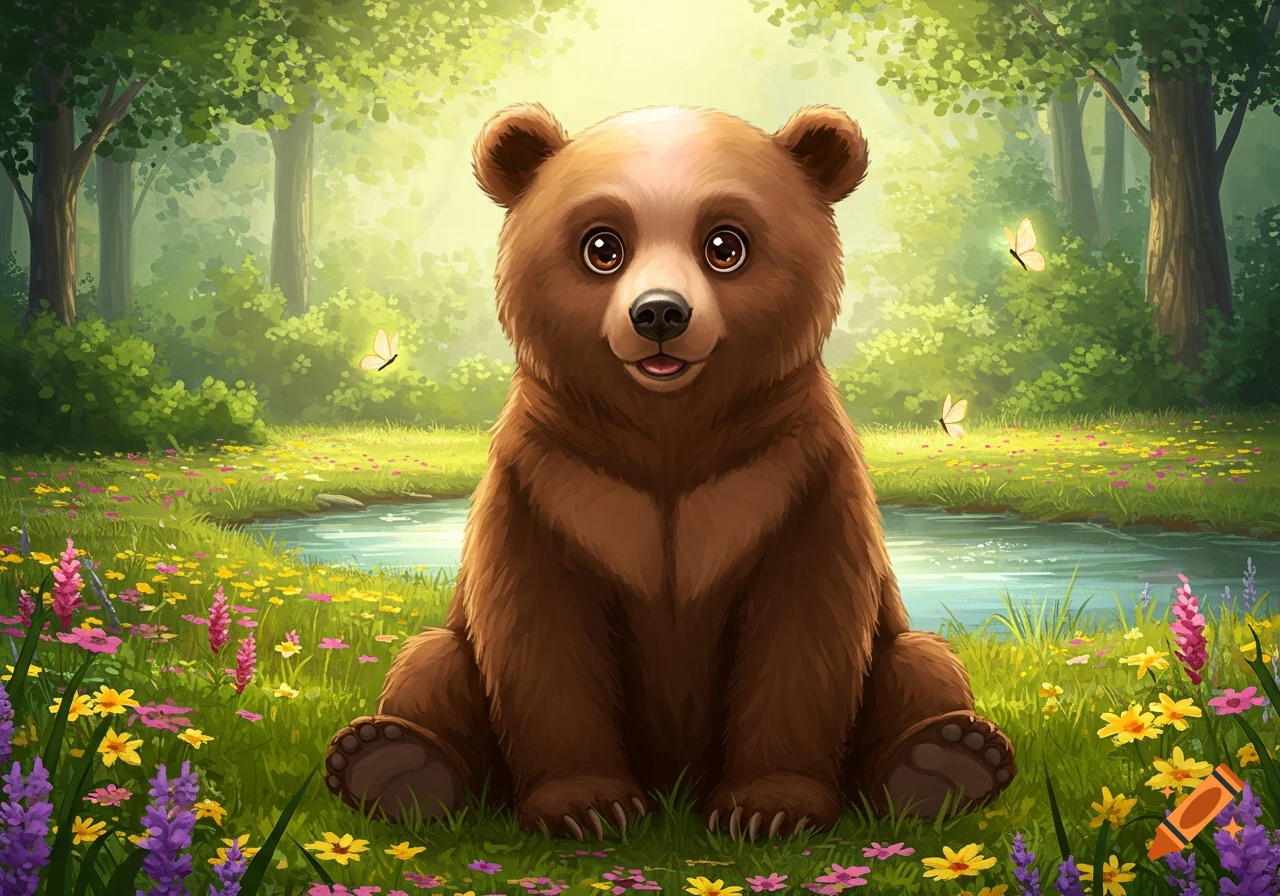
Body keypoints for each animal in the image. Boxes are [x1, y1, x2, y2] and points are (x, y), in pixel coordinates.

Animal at [323, 102, 1017, 840]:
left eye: (725, 245)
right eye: (602, 246)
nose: (659, 312)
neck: (670, 439)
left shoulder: (796, 479)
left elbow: (806, 630)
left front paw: (768, 805)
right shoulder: (548, 482)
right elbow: (539, 631)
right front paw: (586, 804)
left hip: (892, 640)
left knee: (922, 661)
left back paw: (946, 760)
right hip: (457, 638)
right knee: (430, 661)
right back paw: (391, 762)